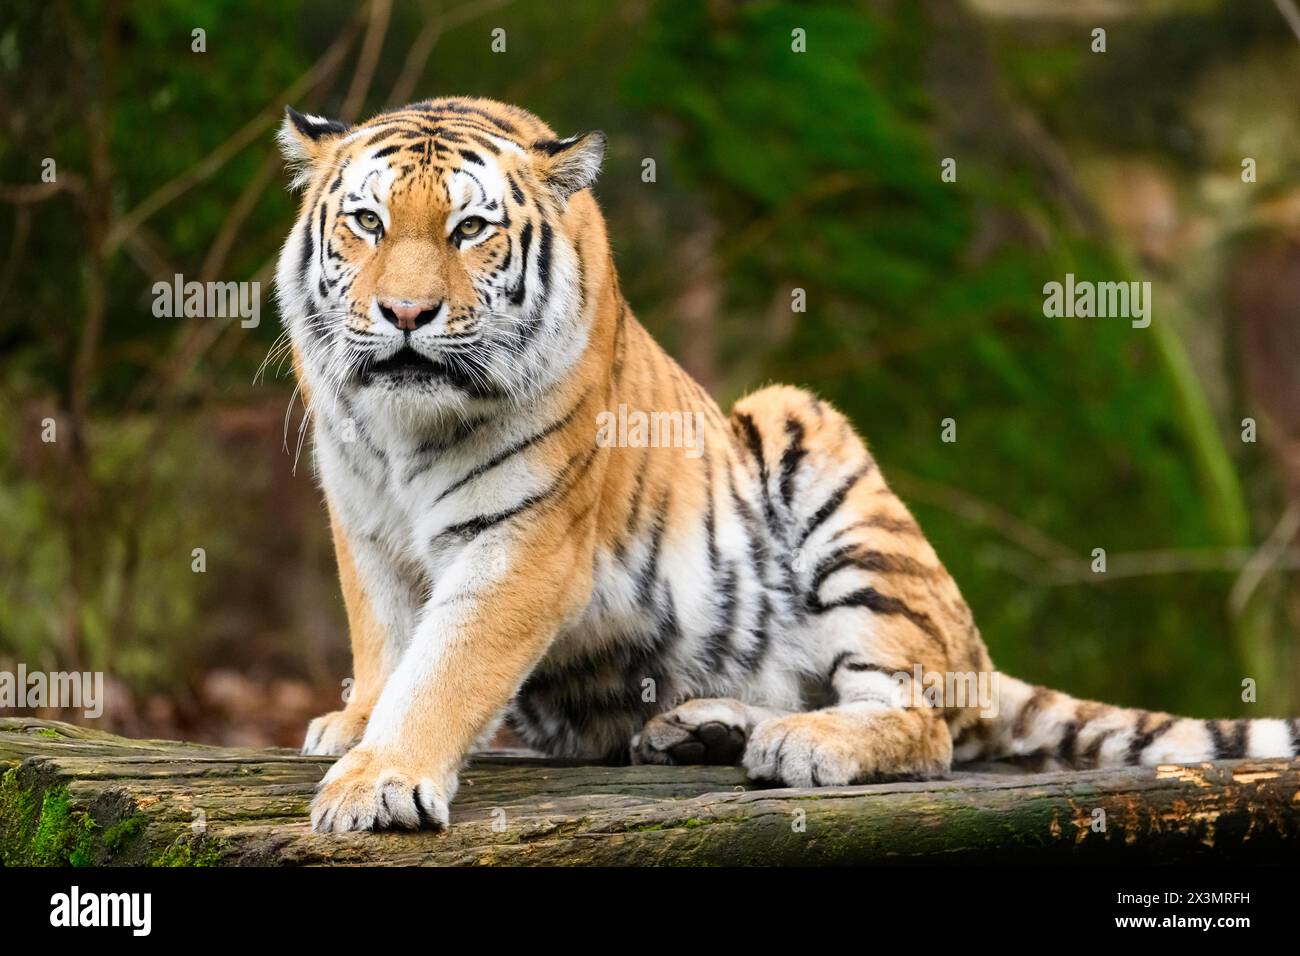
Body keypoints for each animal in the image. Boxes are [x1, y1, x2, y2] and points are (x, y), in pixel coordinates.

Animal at [274, 96, 1300, 833]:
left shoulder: (523, 542)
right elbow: (385, 640)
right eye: (366, 222)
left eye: (469, 231)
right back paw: (703, 727)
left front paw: (379, 780)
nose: (407, 315)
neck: (401, 431)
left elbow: (446, 670)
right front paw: (355, 723)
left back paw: (804, 744)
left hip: (809, 446)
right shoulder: (362, 522)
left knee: (924, 722)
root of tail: (975, 654)